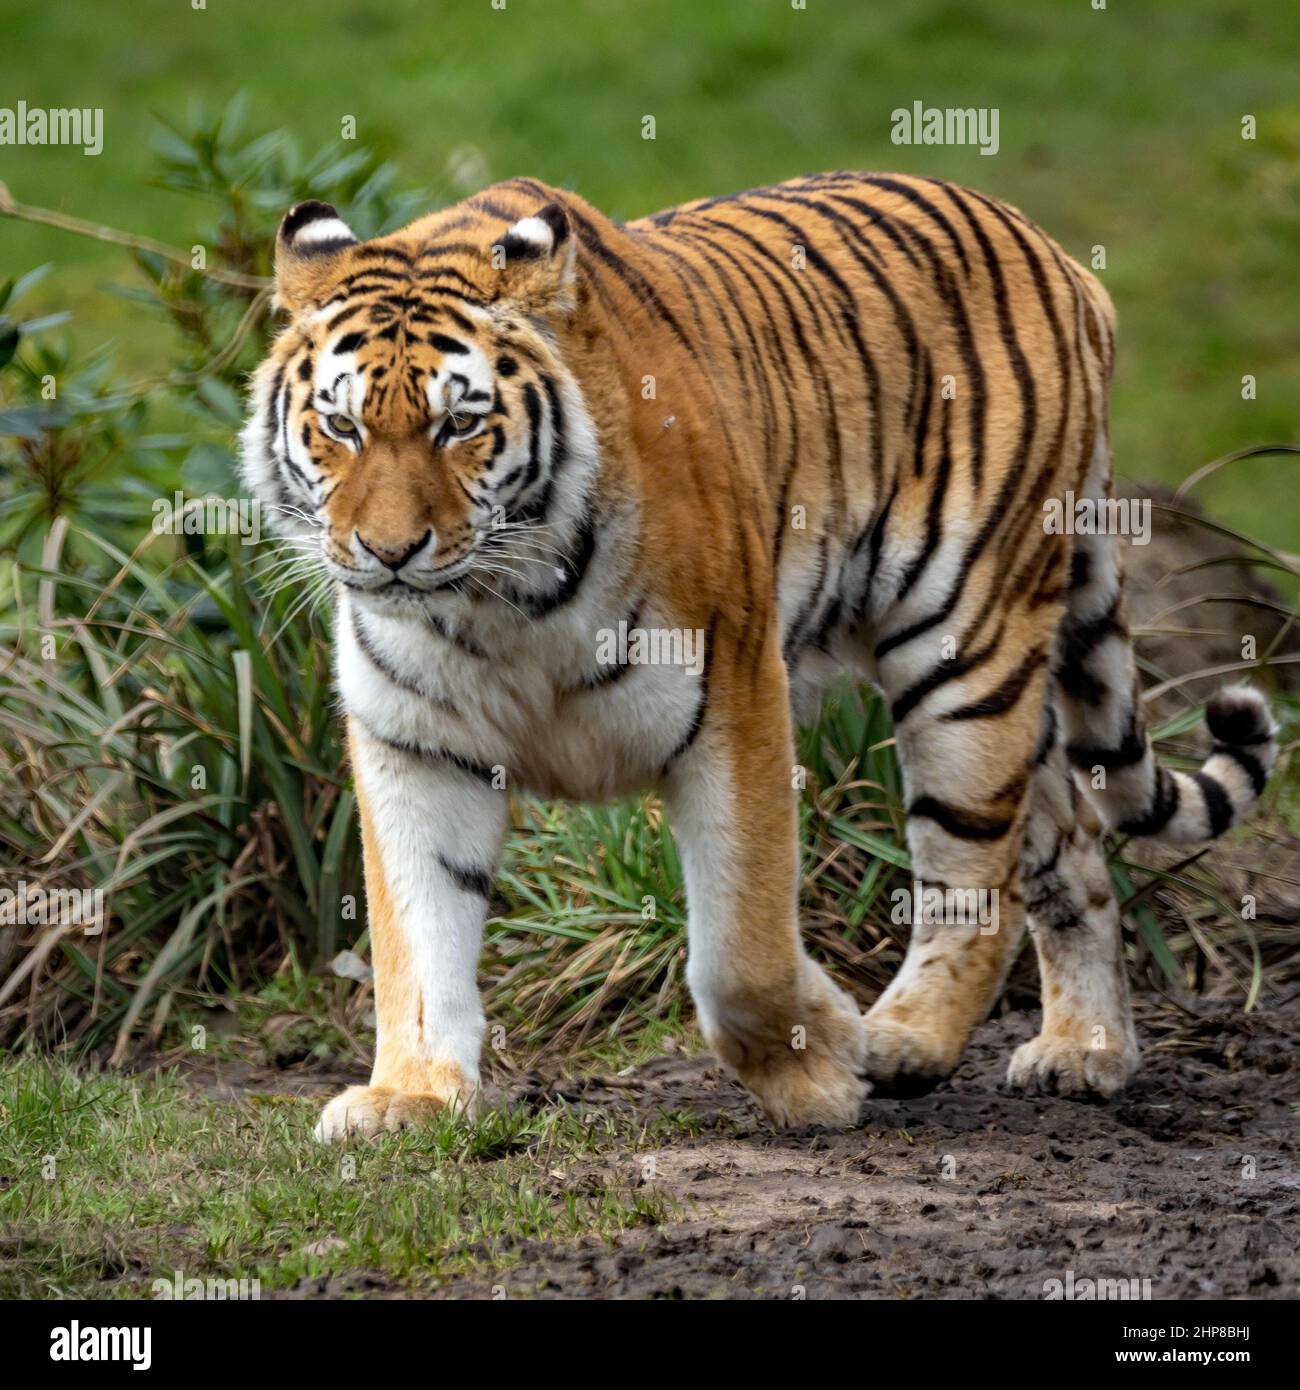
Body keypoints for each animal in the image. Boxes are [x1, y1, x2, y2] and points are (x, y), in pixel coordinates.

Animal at [240, 172, 1279, 1138]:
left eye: (459, 423)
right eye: (341, 426)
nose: (387, 551)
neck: (499, 606)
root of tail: (1056, 254)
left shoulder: (732, 695)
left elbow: (740, 951)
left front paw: (820, 1073)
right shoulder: (416, 743)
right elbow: (417, 937)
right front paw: (410, 1097)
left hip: (966, 648)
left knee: (978, 878)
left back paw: (905, 1039)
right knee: (1075, 845)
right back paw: (1084, 1050)